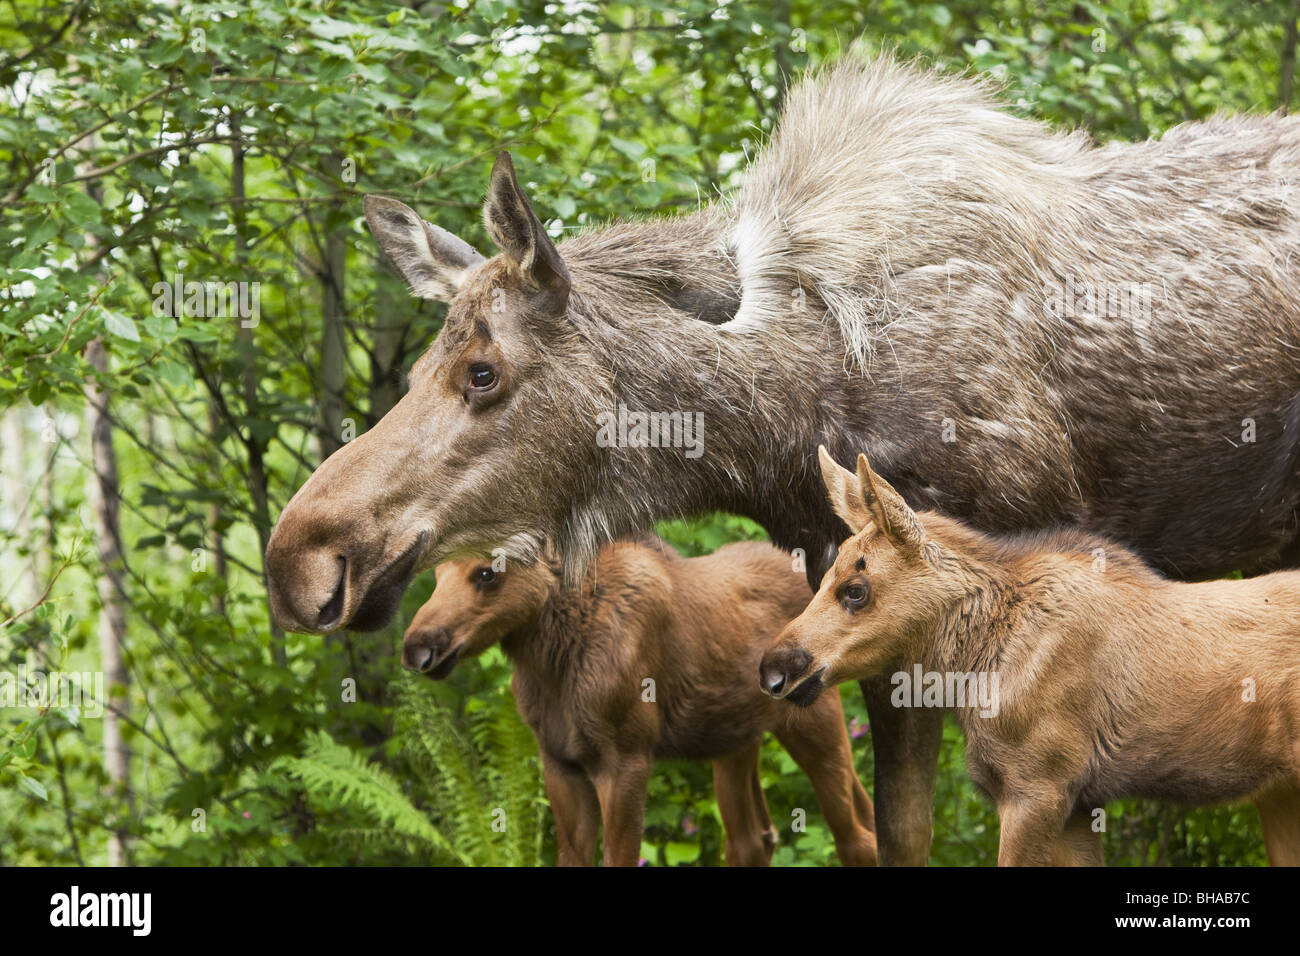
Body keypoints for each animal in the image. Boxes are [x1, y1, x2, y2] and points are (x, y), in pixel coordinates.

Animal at [402, 535, 878, 867]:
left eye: (487, 573)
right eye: (436, 576)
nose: (417, 648)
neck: (551, 662)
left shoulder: (627, 758)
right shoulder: (559, 761)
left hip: (813, 721)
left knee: (858, 834)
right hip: (734, 739)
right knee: (753, 838)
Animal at [759, 446, 1300, 866]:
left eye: (855, 589)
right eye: (824, 578)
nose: (773, 670)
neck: (970, 670)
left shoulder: (1037, 788)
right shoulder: (1078, 805)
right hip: (1279, 792)